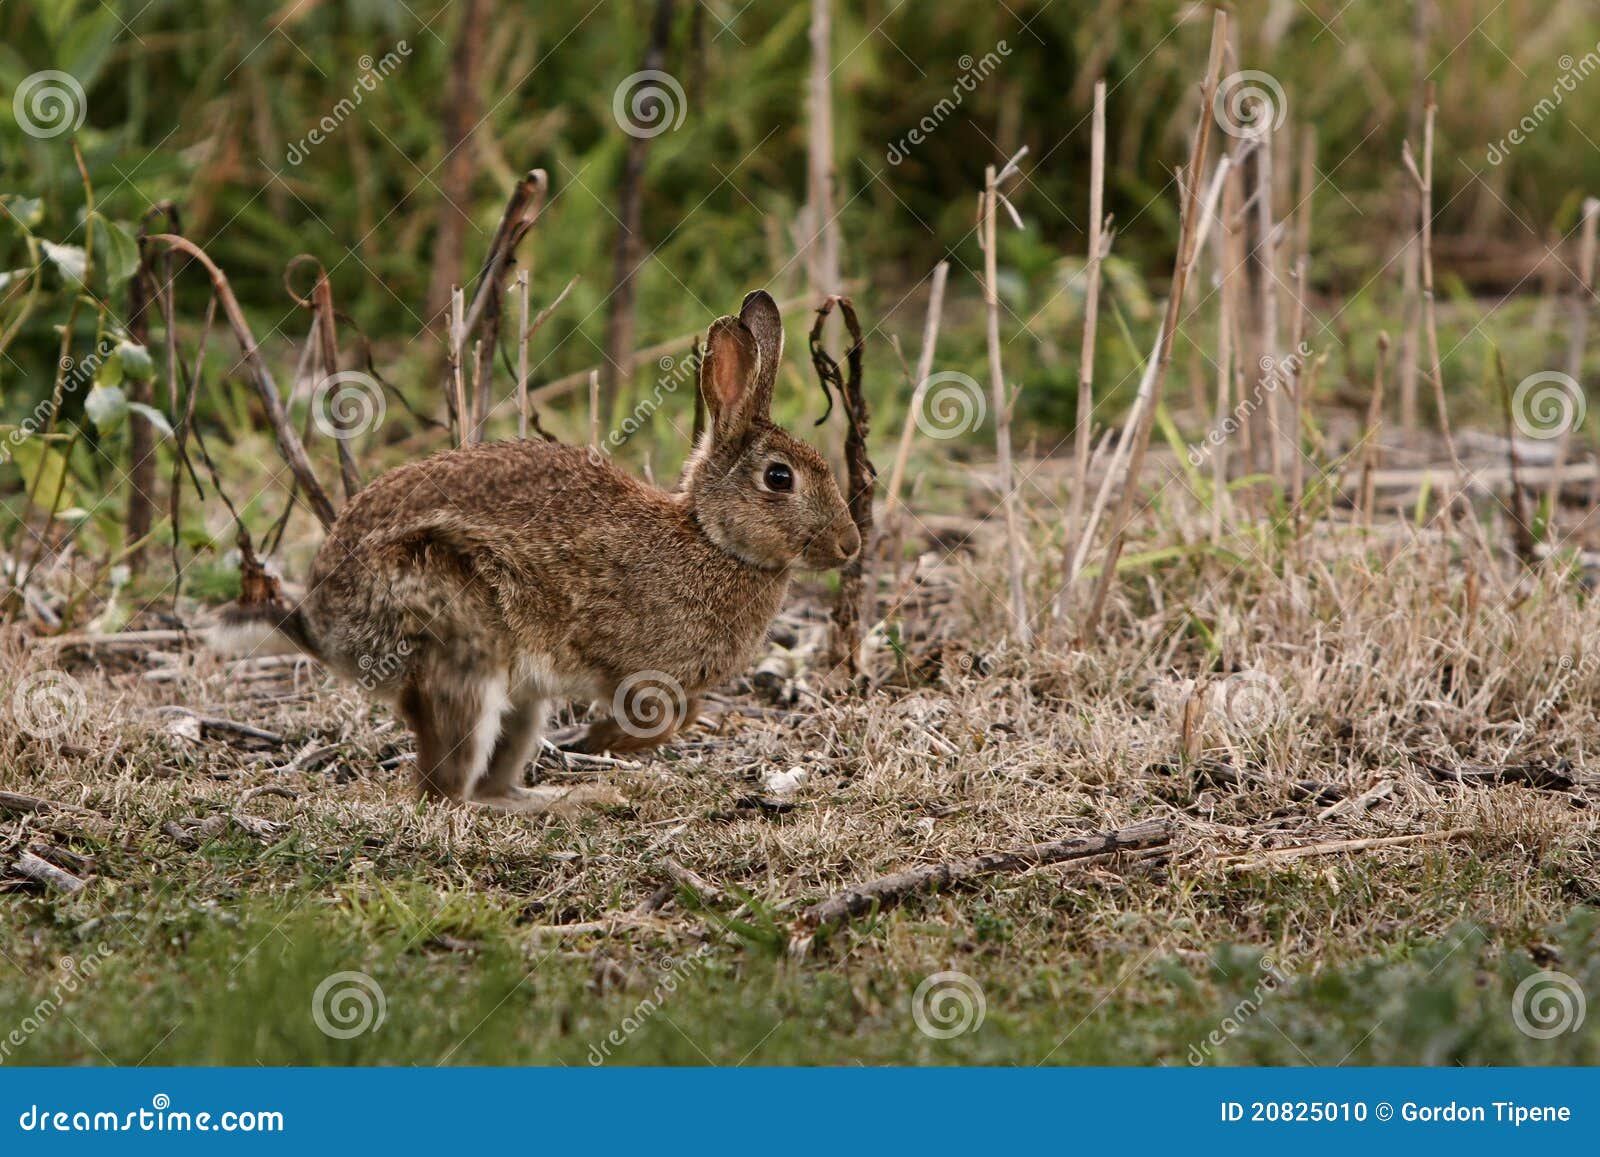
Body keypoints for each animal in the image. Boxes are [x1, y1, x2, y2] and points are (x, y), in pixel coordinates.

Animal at [216, 291, 860, 812]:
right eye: (779, 478)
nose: (849, 545)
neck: (710, 537)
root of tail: (329, 631)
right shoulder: (632, 666)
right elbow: (666, 715)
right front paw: (605, 741)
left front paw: (603, 747)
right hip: (461, 643)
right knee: (442, 792)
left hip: (521, 699)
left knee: (483, 783)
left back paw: (567, 800)